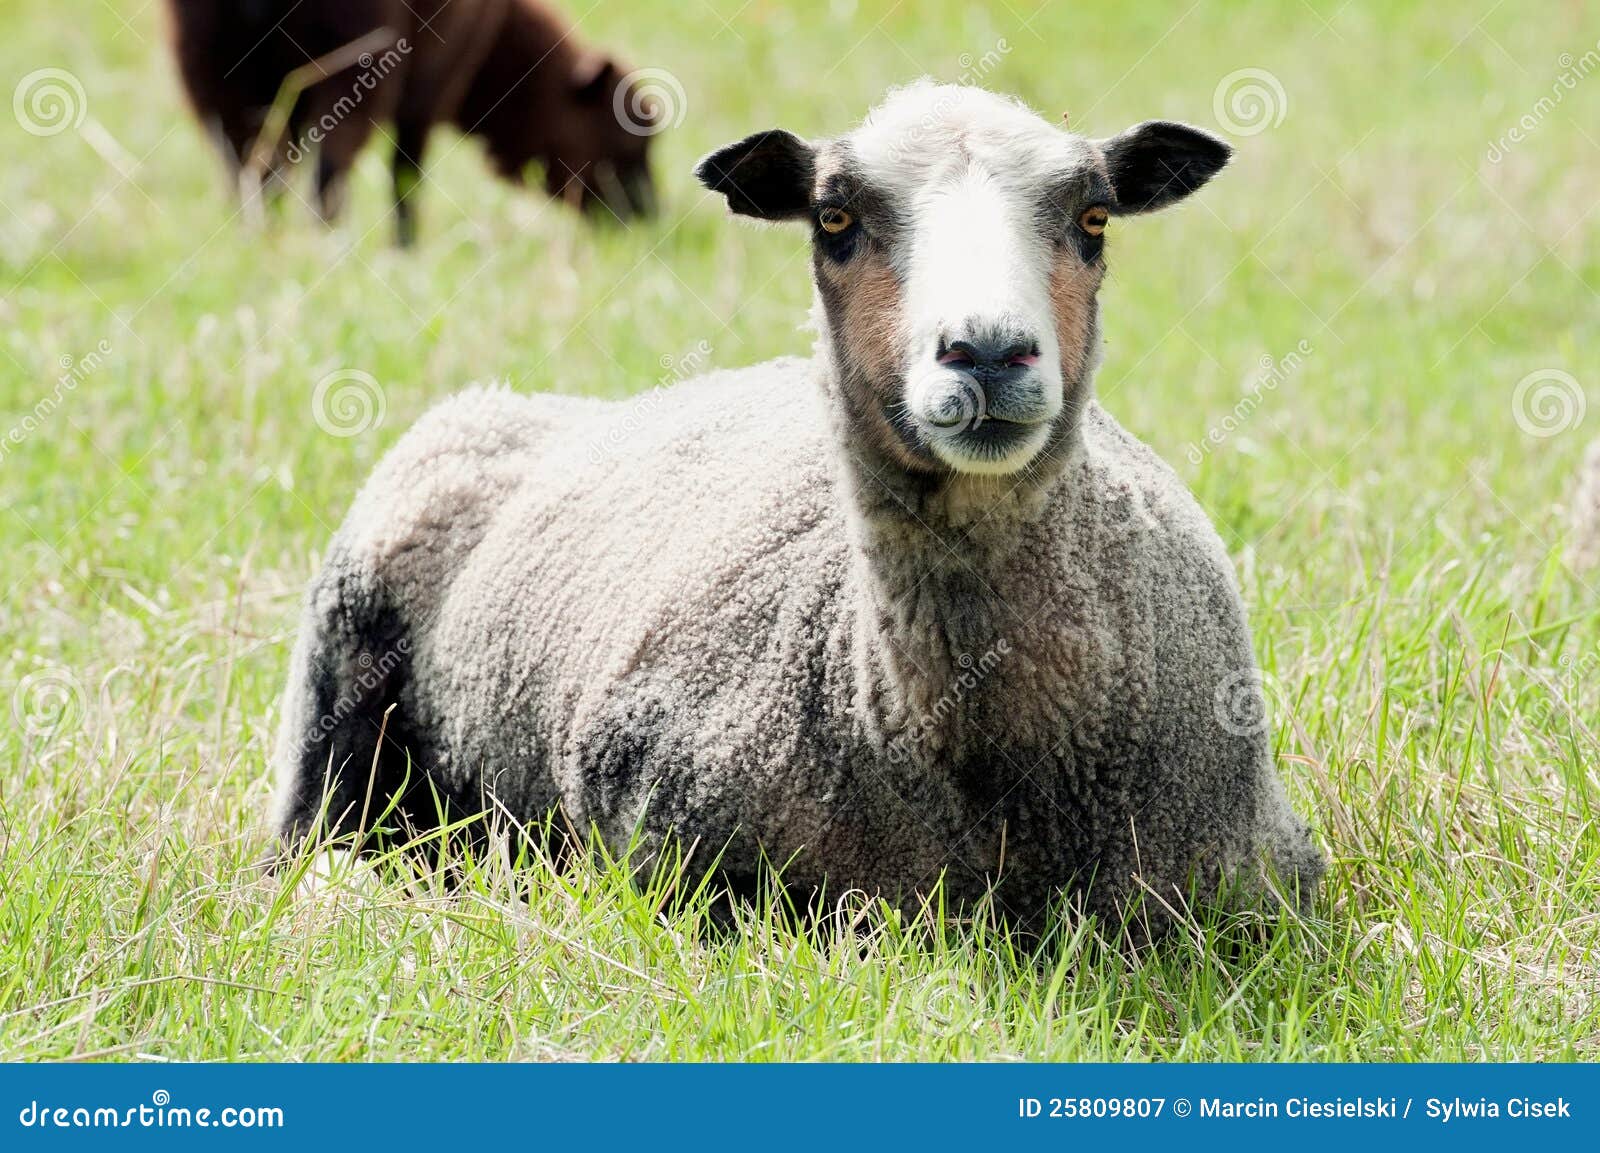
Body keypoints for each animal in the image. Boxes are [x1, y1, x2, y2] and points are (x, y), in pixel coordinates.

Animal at [164, 0, 657, 246]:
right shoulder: (434, 75)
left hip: (208, 60)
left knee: (243, 167)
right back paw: (329, 245)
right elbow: (406, 171)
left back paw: (253, 241)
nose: (649, 218)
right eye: (628, 143)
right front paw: (406, 244)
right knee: (327, 171)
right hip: (355, 52)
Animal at [271, 83, 1325, 934]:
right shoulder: (669, 851)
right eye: (834, 217)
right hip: (336, 686)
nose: (986, 353)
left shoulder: (1264, 885)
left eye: (1096, 216)